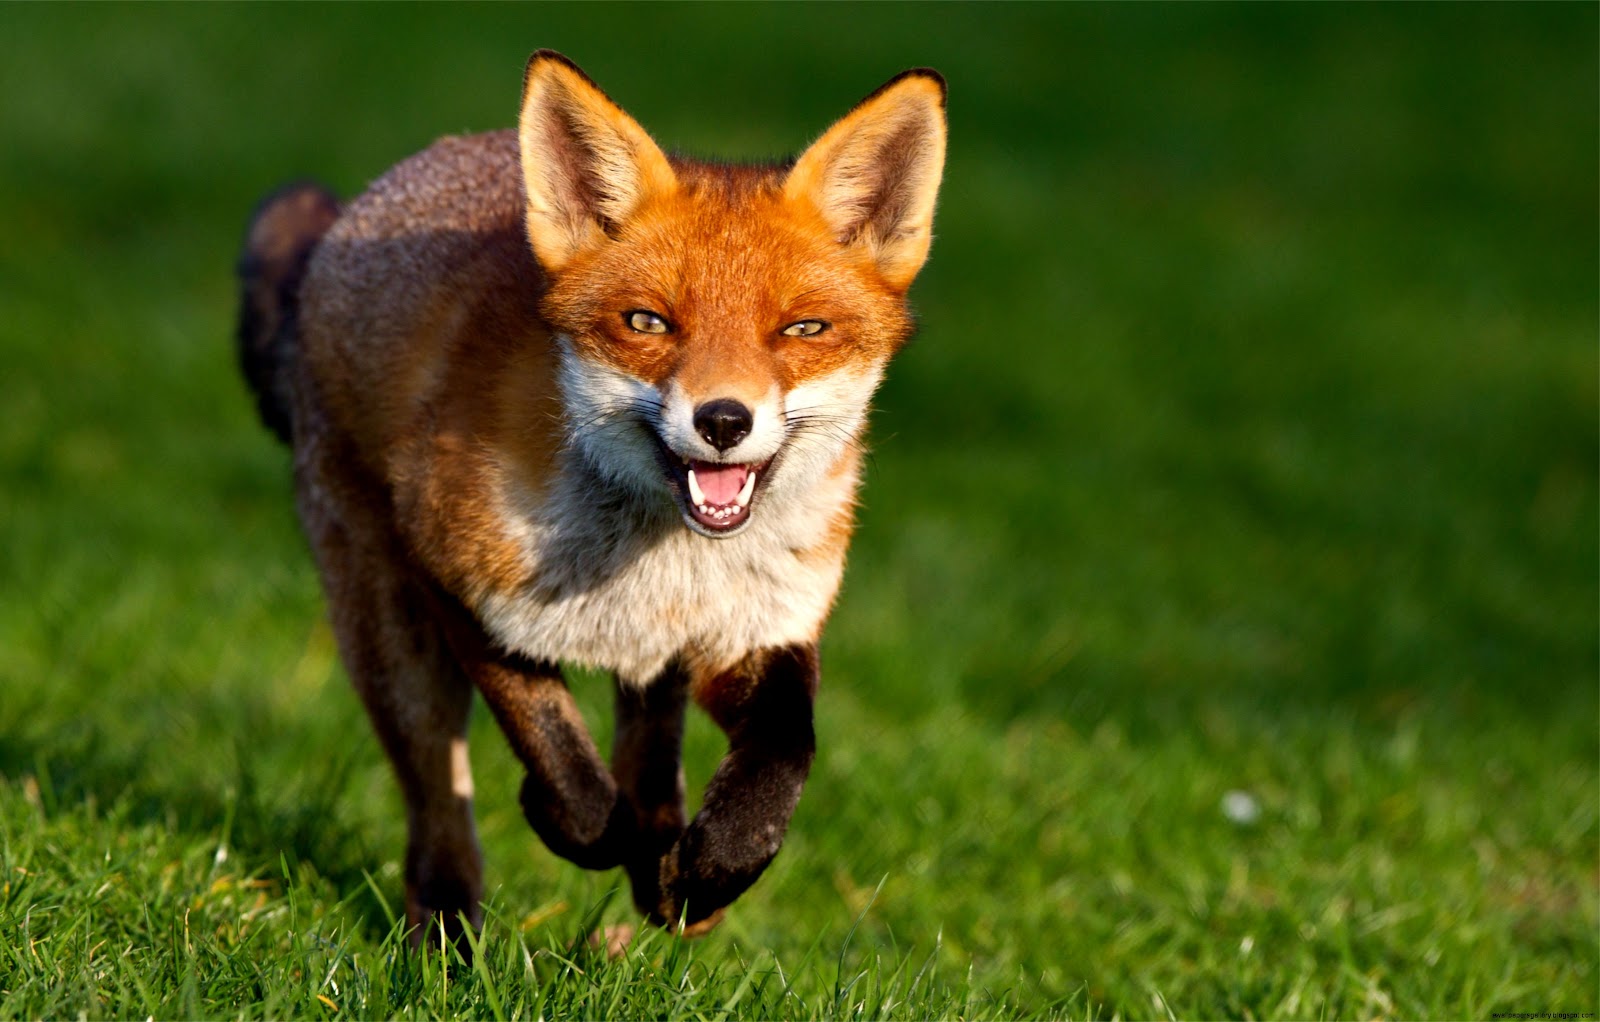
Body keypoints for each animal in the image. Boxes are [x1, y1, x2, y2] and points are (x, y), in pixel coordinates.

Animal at [235, 50, 947, 950]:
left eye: (802, 330)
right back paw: (449, 930)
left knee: (651, 751)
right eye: (647, 322)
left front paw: (712, 871)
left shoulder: (760, 628)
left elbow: (783, 755)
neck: (663, 561)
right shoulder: (462, 588)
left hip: (651, 664)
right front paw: (568, 822)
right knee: (436, 796)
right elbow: (561, 763)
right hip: (389, 635)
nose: (723, 420)